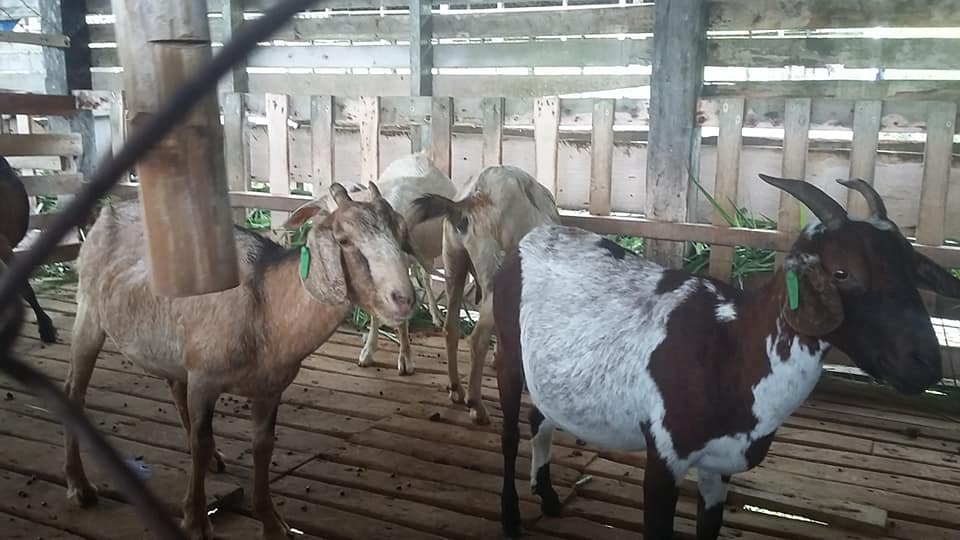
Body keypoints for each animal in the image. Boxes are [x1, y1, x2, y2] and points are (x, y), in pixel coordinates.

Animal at [63, 183, 415, 540]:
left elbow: (263, 446)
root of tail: (108, 209)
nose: (404, 299)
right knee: (74, 392)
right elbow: (200, 441)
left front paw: (272, 522)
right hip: (89, 312)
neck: (267, 306)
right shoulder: (204, 378)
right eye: (343, 239)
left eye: (401, 231)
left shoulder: (269, 389)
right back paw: (80, 486)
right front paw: (196, 521)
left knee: (174, 387)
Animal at [287, 152, 456, 375]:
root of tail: (419, 155)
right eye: (325, 213)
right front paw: (368, 351)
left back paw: (437, 316)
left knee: (427, 277)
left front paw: (405, 358)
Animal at [410, 165, 561, 425]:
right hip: (494, 273)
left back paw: (456, 389)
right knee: (477, 338)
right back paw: (476, 405)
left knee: (451, 328)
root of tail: (472, 199)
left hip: (453, 261)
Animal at [493, 175, 960, 539]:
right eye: (842, 272)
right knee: (511, 433)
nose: (926, 364)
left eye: (911, 268)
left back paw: (548, 497)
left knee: (540, 417)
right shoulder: (664, 456)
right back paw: (511, 517)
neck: (732, 347)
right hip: (509, 352)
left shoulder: (719, 467)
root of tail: (532, 239)